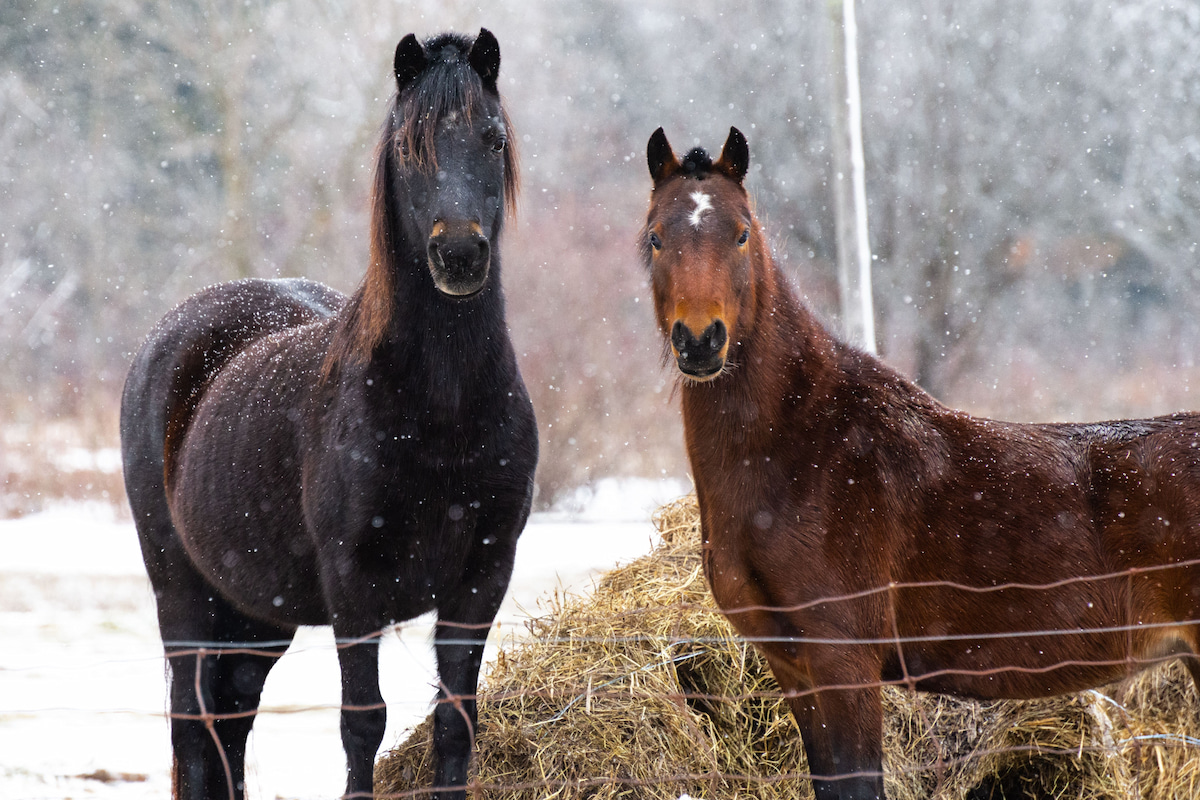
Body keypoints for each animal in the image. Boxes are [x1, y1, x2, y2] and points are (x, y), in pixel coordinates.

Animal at [120, 29, 536, 800]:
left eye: (492, 139)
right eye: (409, 145)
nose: (460, 254)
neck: (442, 410)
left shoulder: (483, 575)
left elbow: (455, 722)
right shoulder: (355, 585)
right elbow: (363, 722)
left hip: (254, 615)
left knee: (232, 719)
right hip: (182, 596)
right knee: (194, 729)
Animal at [642, 126, 1200, 800]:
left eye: (742, 232)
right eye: (655, 236)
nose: (701, 342)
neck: (803, 448)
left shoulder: (844, 662)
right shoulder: (795, 668)